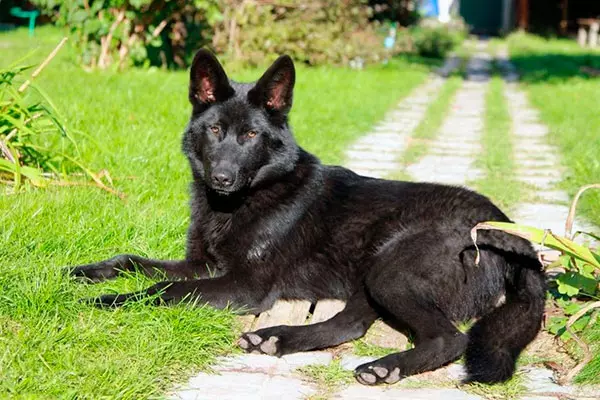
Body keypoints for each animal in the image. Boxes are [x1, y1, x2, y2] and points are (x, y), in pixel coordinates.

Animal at [69, 49, 544, 384]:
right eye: (215, 130)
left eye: (251, 135)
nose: (222, 178)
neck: (245, 200)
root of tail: (512, 233)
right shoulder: (200, 264)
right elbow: (131, 261)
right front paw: (87, 272)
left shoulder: (244, 286)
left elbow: (163, 288)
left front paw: (107, 301)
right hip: (372, 272)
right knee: (350, 324)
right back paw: (276, 338)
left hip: (391, 269)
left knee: (449, 338)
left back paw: (384, 367)